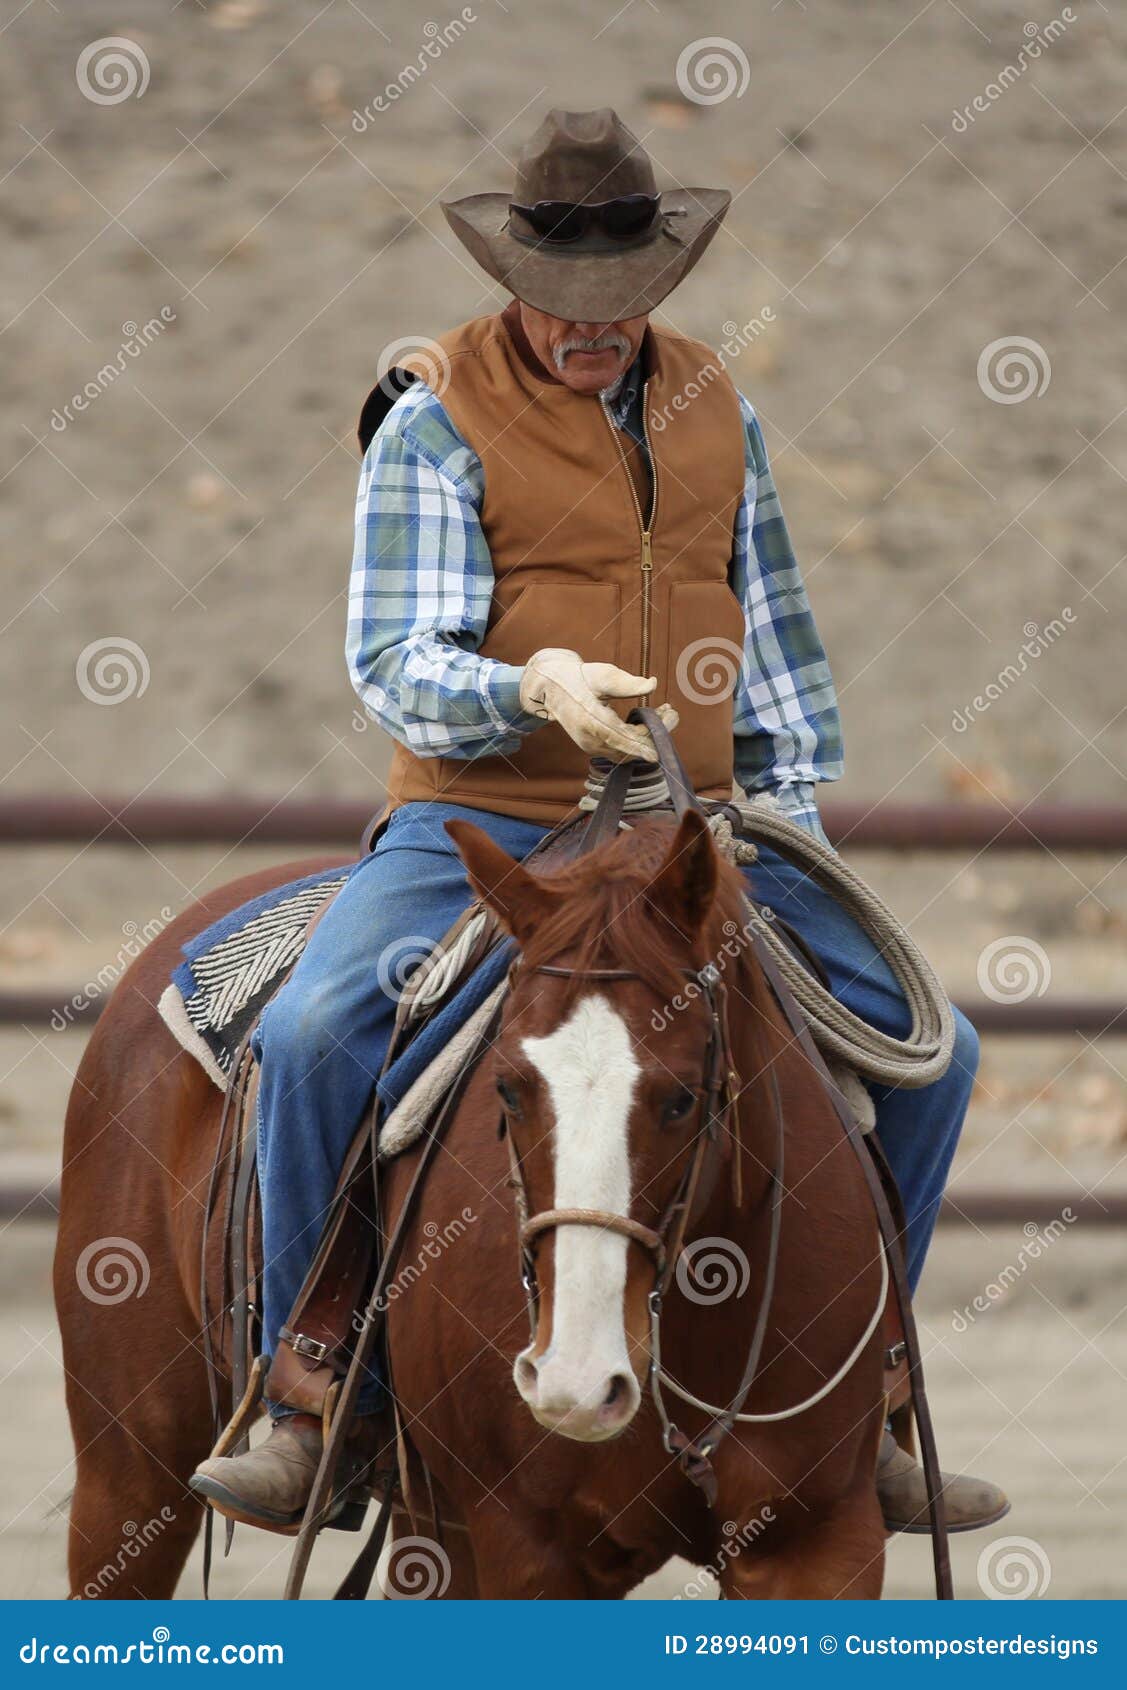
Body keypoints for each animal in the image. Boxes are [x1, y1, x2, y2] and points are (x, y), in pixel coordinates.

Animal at [54, 807, 892, 1600]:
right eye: (508, 1089)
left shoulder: (818, 1539)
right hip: (129, 1458)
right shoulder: (523, 1544)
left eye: (683, 1098)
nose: (573, 1380)